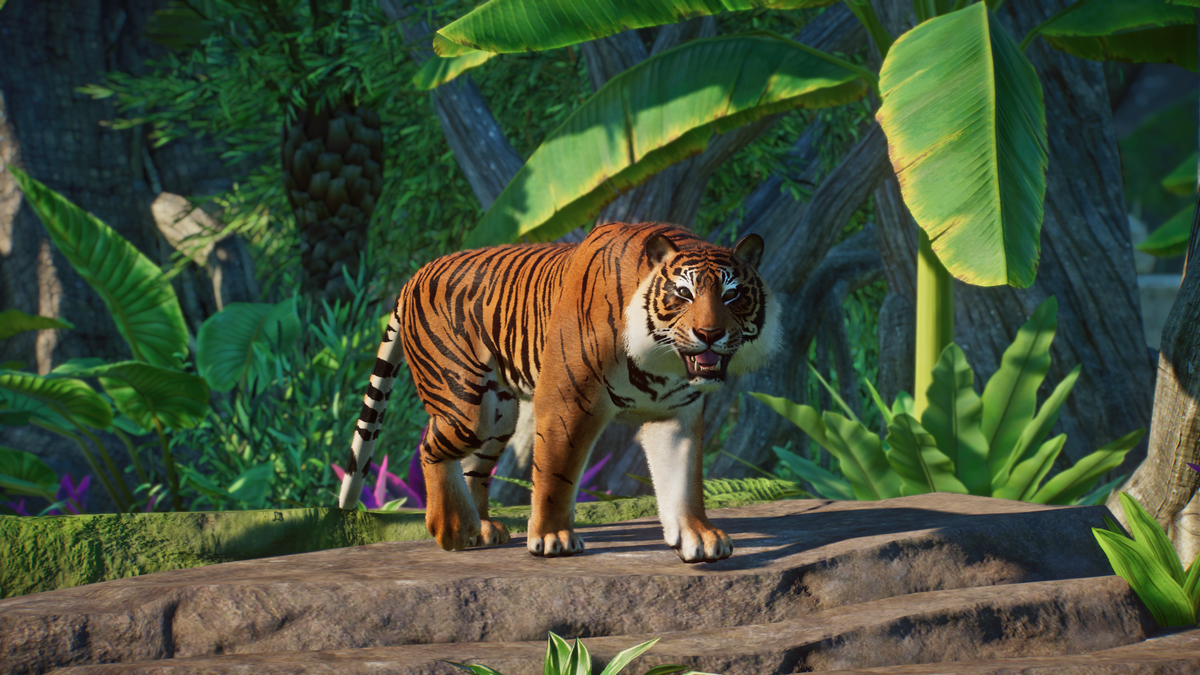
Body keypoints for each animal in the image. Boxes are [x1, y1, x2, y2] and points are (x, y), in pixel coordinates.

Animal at [337, 221, 780, 563]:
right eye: (683, 293)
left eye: (732, 294)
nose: (709, 333)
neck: (663, 364)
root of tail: (417, 273)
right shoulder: (568, 398)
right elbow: (555, 472)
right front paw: (552, 539)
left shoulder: (676, 413)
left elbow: (683, 478)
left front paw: (697, 537)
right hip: (466, 404)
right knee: (431, 446)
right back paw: (452, 528)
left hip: (499, 414)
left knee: (473, 467)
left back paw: (481, 528)